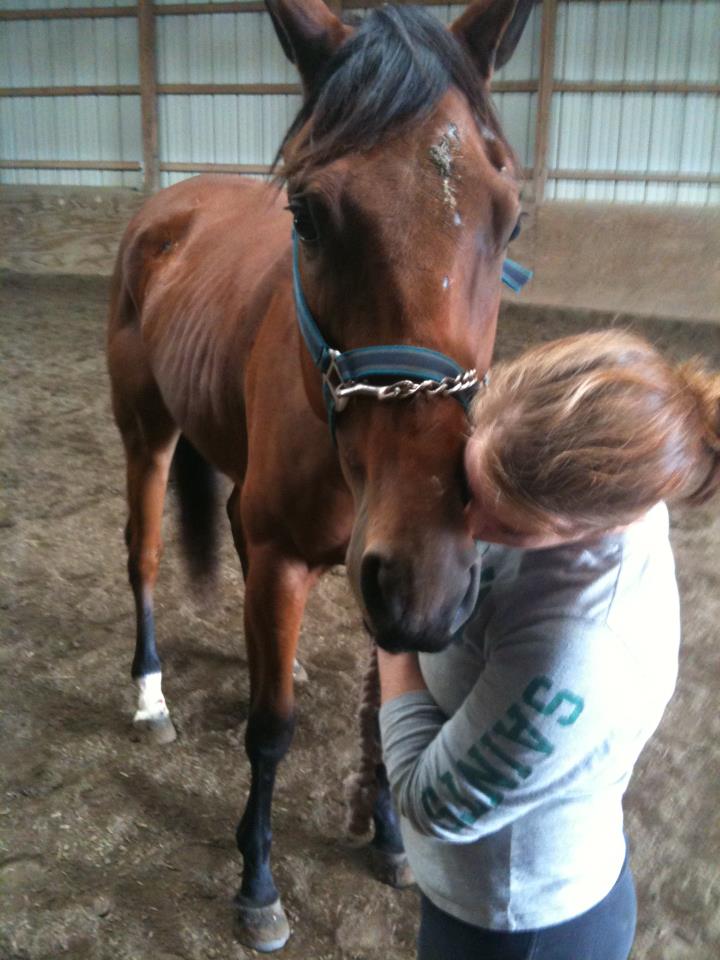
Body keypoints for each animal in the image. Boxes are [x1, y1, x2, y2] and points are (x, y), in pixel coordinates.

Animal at [107, 0, 533, 950]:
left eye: (511, 220)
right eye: (306, 215)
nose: (435, 574)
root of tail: (171, 204)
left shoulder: (390, 582)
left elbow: (384, 712)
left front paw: (391, 840)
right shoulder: (301, 562)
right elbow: (270, 733)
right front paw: (257, 883)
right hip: (146, 435)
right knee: (143, 554)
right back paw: (149, 697)